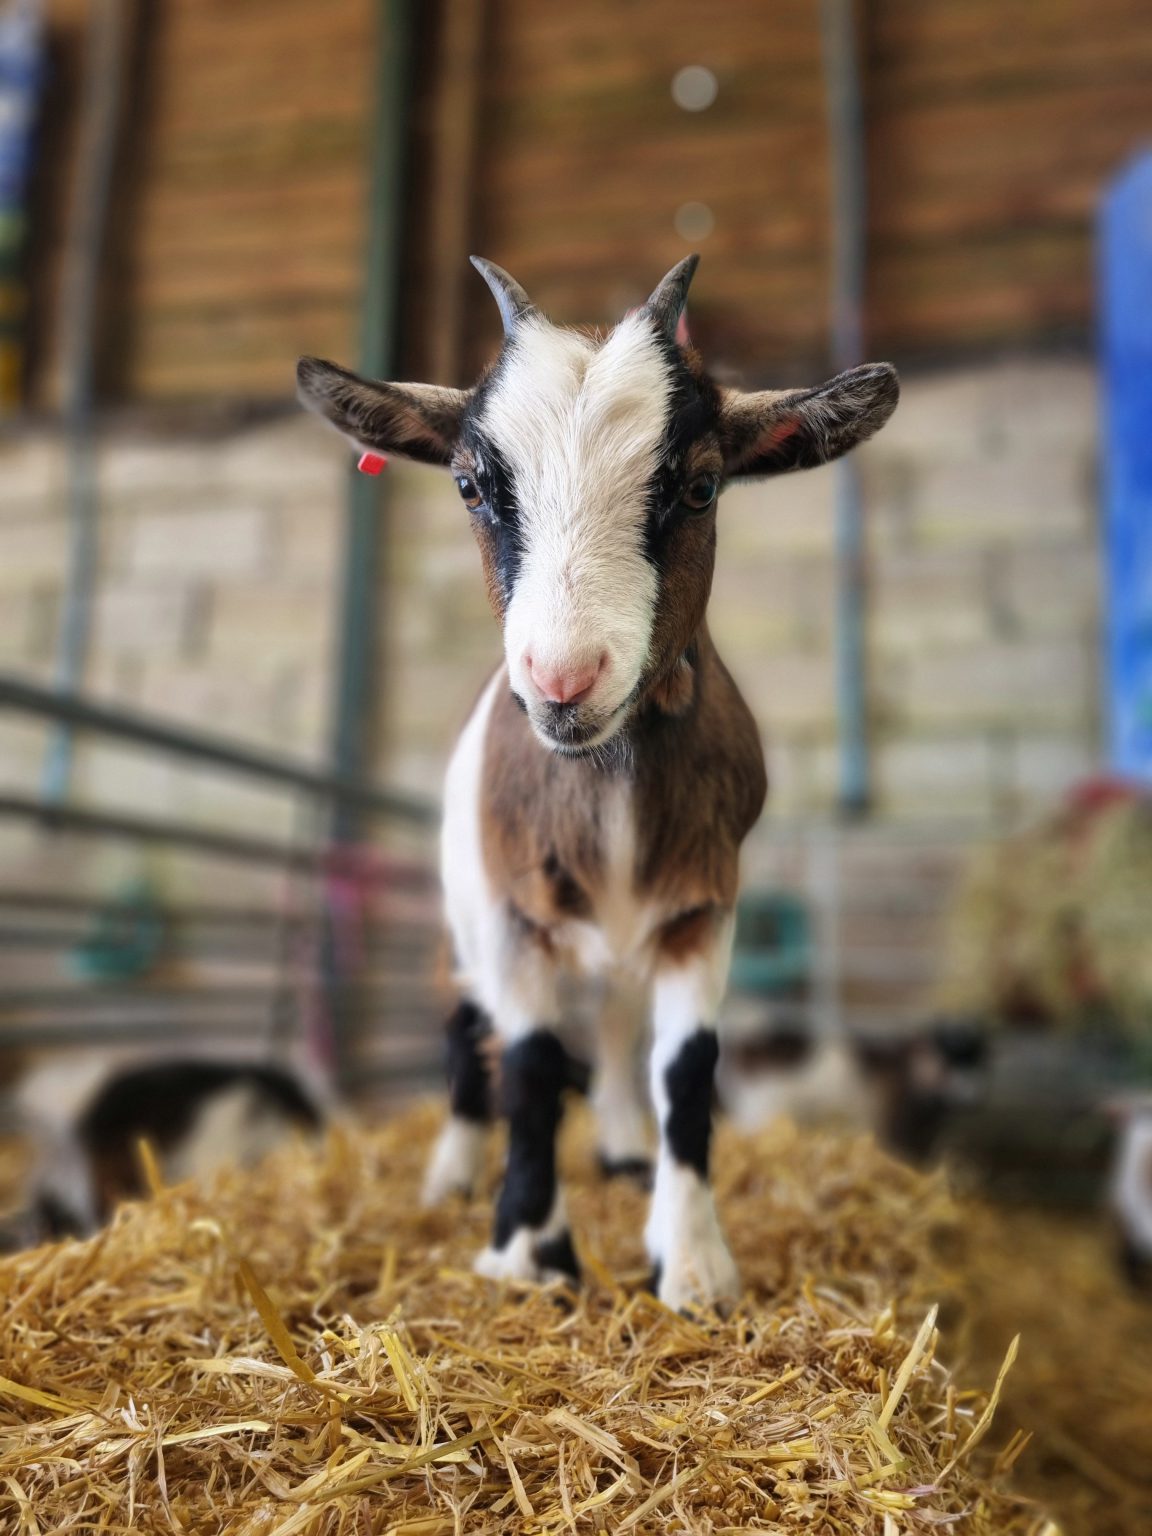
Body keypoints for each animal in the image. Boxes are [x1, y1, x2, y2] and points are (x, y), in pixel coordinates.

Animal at [297, 255, 899, 1311]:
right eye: (469, 484)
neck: (603, 775)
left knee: (618, 1032)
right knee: (468, 1036)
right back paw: (452, 1177)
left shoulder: (703, 908)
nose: (562, 681)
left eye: (700, 485)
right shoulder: (509, 917)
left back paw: (621, 1148)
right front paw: (529, 1251)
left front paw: (692, 1261)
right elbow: (531, 1069)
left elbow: (687, 1071)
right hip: (460, 923)